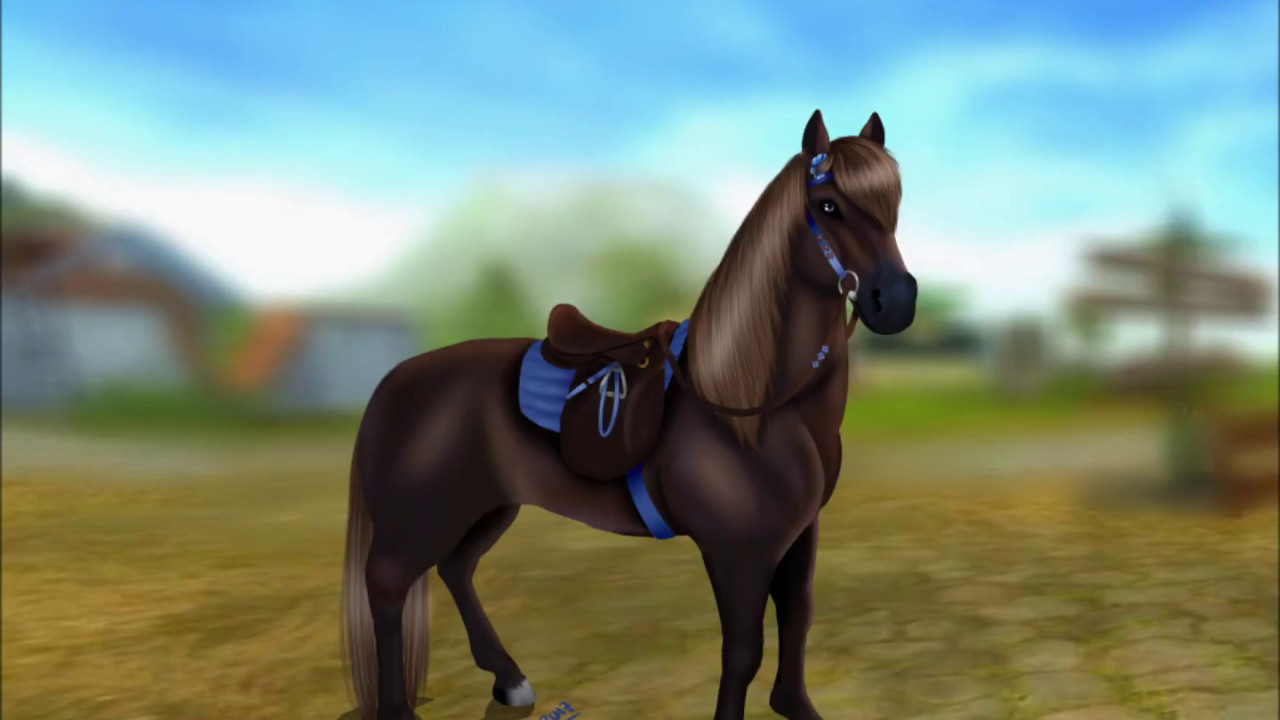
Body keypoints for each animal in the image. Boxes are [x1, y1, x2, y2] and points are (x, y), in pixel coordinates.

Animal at [340, 109, 917, 720]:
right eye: (828, 206)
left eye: (894, 200)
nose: (897, 301)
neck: (752, 412)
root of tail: (397, 381)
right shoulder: (738, 551)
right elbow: (743, 649)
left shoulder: (800, 534)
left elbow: (797, 617)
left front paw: (795, 705)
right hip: (421, 520)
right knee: (387, 587)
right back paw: (400, 708)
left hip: (489, 506)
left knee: (456, 568)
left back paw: (509, 678)